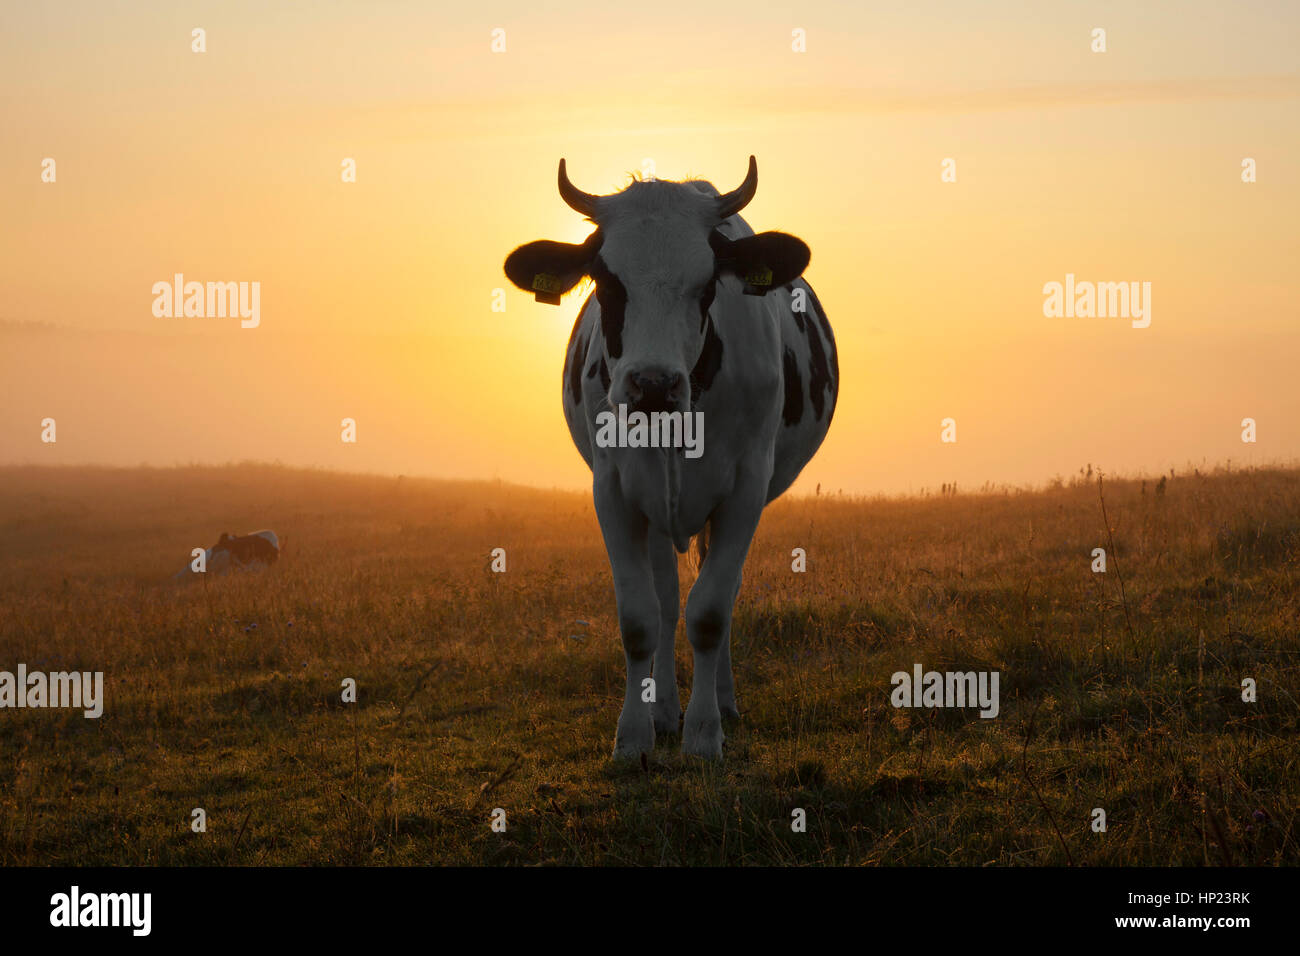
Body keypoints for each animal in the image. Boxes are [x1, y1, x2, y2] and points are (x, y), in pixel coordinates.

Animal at [503, 156, 838, 758]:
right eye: (605, 281)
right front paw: (633, 737)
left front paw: (704, 734)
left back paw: (722, 703)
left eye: (707, 285)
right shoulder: (613, 490)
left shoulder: (745, 490)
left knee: (712, 589)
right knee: (665, 594)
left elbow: (710, 612)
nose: (653, 385)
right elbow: (640, 617)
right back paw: (662, 712)